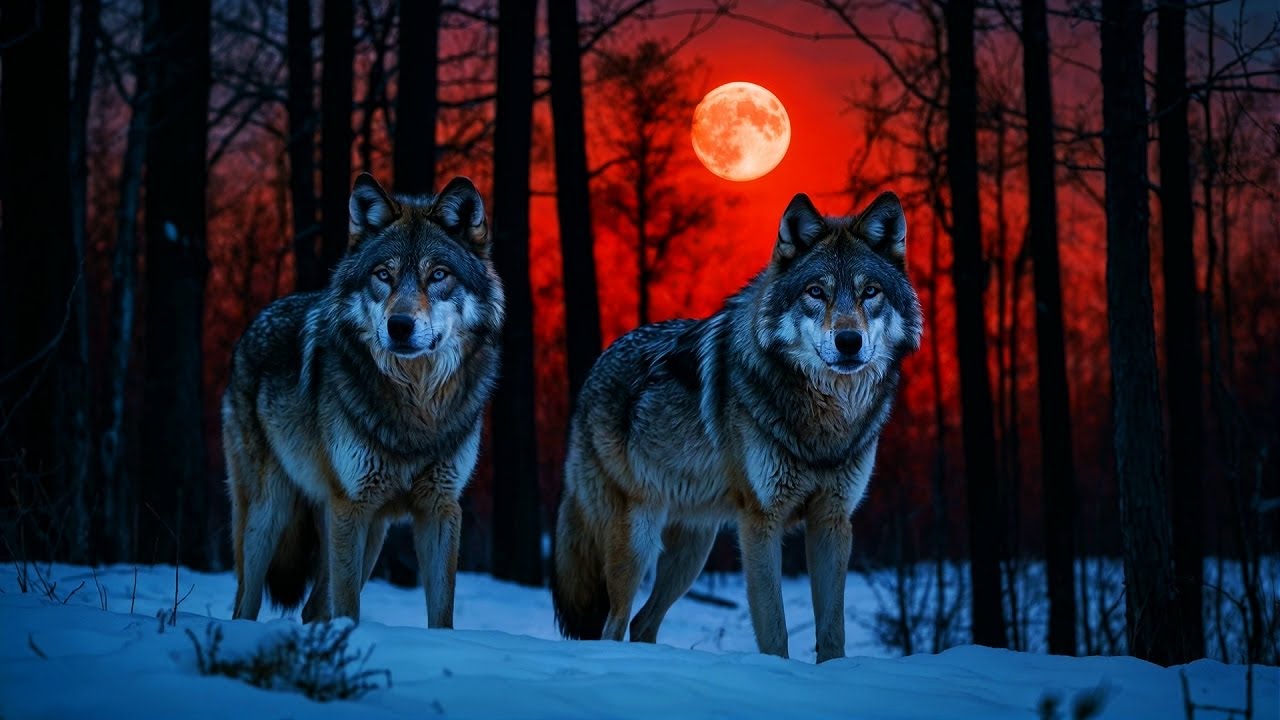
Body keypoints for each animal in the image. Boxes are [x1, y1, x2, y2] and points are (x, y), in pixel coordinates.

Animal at [222, 173, 503, 627]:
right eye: (383, 275)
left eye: (438, 274)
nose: (400, 325)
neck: (416, 408)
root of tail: (256, 321)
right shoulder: (351, 506)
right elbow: (348, 606)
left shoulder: (440, 508)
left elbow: (441, 613)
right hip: (270, 514)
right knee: (245, 603)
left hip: (371, 533)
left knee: (312, 608)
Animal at [552, 191, 921, 662]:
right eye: (816, 292)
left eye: (870, 292)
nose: (848, 341)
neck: (825, 420)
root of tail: (593, 372)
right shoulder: (760, 521)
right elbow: (775, 630)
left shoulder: (833, 520)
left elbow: (833, 632)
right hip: (636, 542)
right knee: (613, 625)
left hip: (693, 550)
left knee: (642, 623)